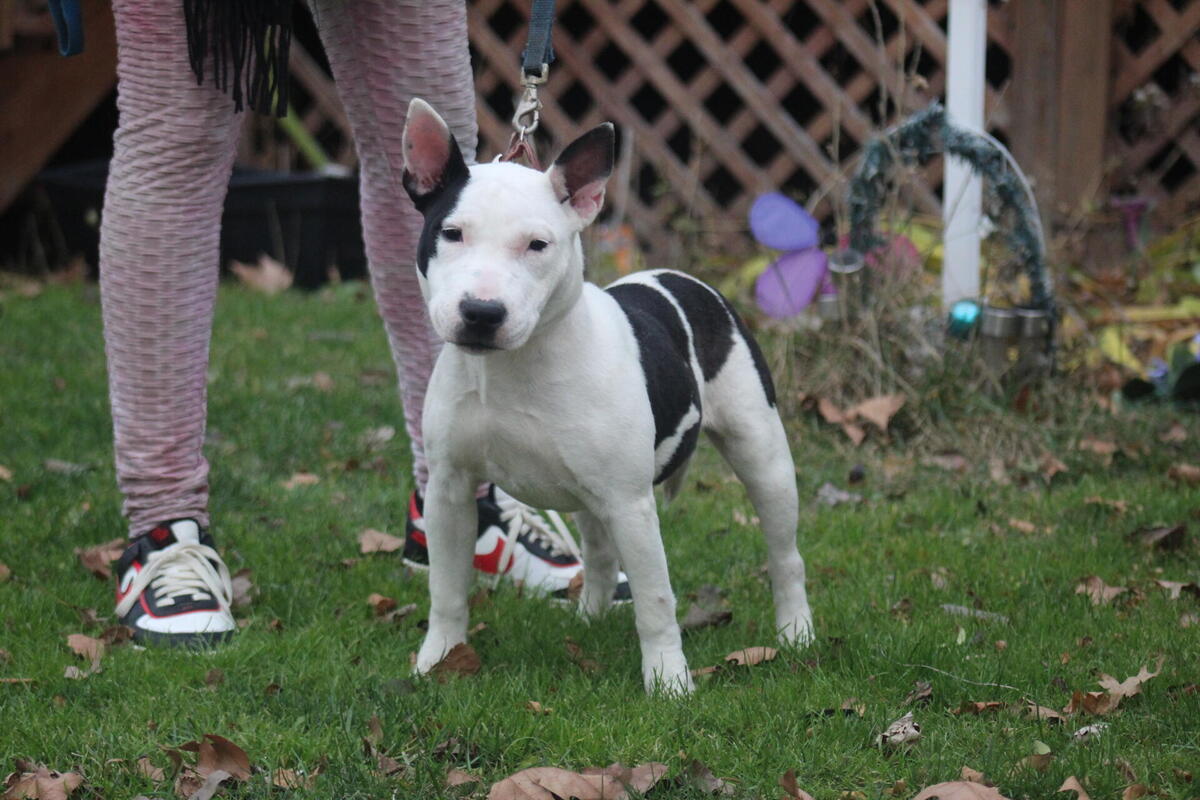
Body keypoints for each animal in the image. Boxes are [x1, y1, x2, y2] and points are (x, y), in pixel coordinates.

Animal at [405, 100, 816, 695]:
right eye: (451, 232)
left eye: (537, 245)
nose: (482, 312)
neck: (517, 365)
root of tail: (686, 279)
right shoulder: (450, 492)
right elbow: (446, 588)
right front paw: (438, 657)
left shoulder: (631, 503)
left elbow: (655, 599)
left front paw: (668, 680)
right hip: (588, 492)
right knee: (598, 553)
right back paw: (590, 617)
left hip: (762, 457)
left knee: (784, 552)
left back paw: (795, 630)